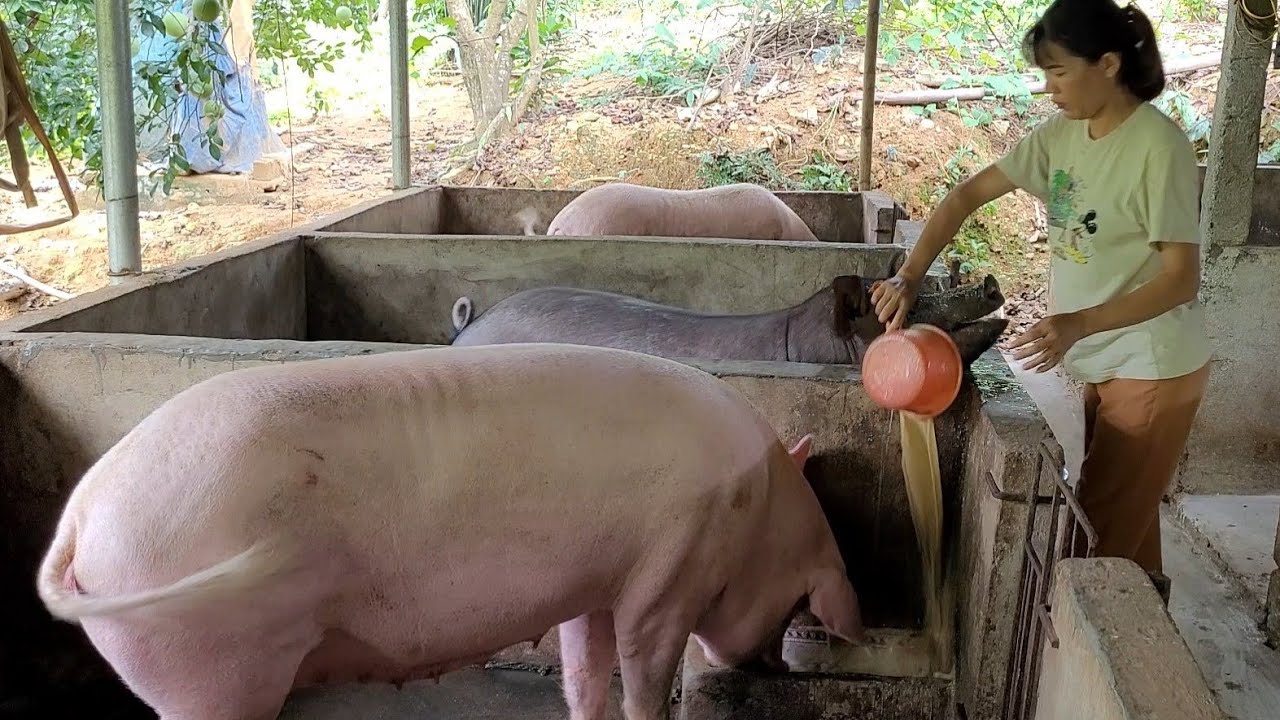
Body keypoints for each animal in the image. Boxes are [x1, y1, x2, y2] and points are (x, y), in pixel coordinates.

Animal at [36, 342, 862, 720]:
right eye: (798, 600)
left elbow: (584, 669)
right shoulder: (670, 568)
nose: (774, 666)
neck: (754, 503)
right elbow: (643, 667)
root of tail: (81, 519)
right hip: (207, 665)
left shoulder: (596, 583)